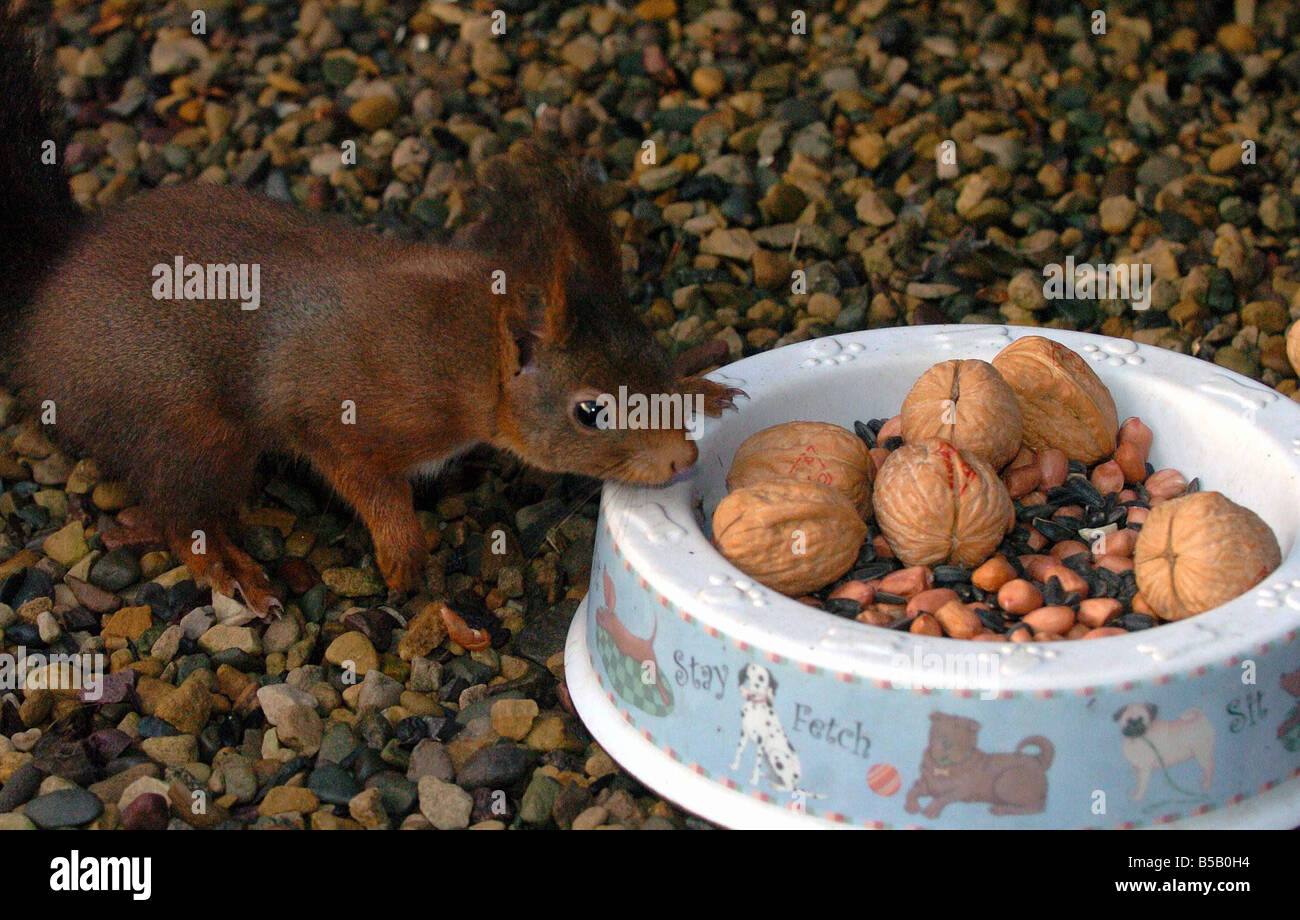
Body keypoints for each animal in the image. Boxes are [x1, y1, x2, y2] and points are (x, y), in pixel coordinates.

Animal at [0, 13, 740, 617]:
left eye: (653, 357)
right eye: (590, 412)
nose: (682, 457)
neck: (466, 349)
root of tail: (51, 285)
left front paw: (702, 384)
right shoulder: (343, 413)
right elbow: (364, 480)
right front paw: (403, 554)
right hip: (189, 426)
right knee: (178, 506)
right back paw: (230, 566)